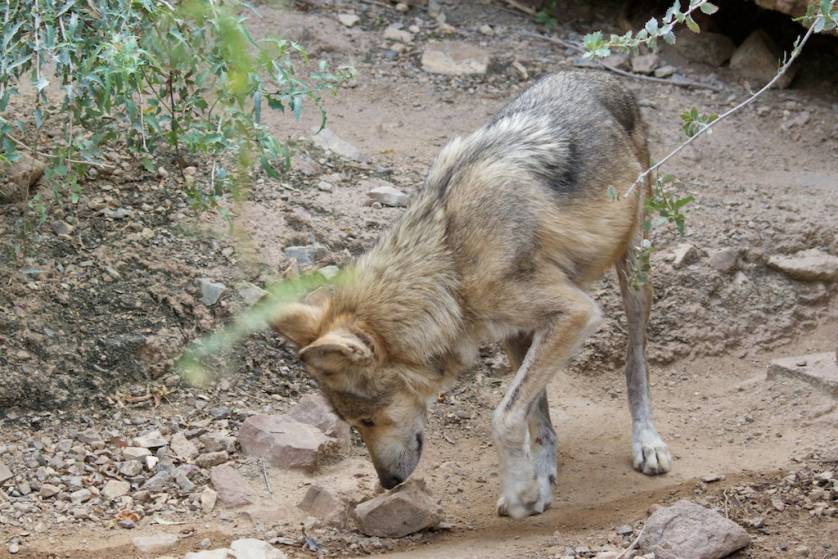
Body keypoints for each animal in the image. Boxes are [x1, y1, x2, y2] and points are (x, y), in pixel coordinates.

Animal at [271, 71, 671, 519]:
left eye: (368, 420)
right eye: (354, 424)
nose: (388, 483)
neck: (452, 264)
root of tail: (594, 74)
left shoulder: (575, 313)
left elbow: (505, 416)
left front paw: (519, 491)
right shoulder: (521, 330)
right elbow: (533, 416)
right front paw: (535, 485)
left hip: (634, 273)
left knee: (636, 361)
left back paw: (647, 442)